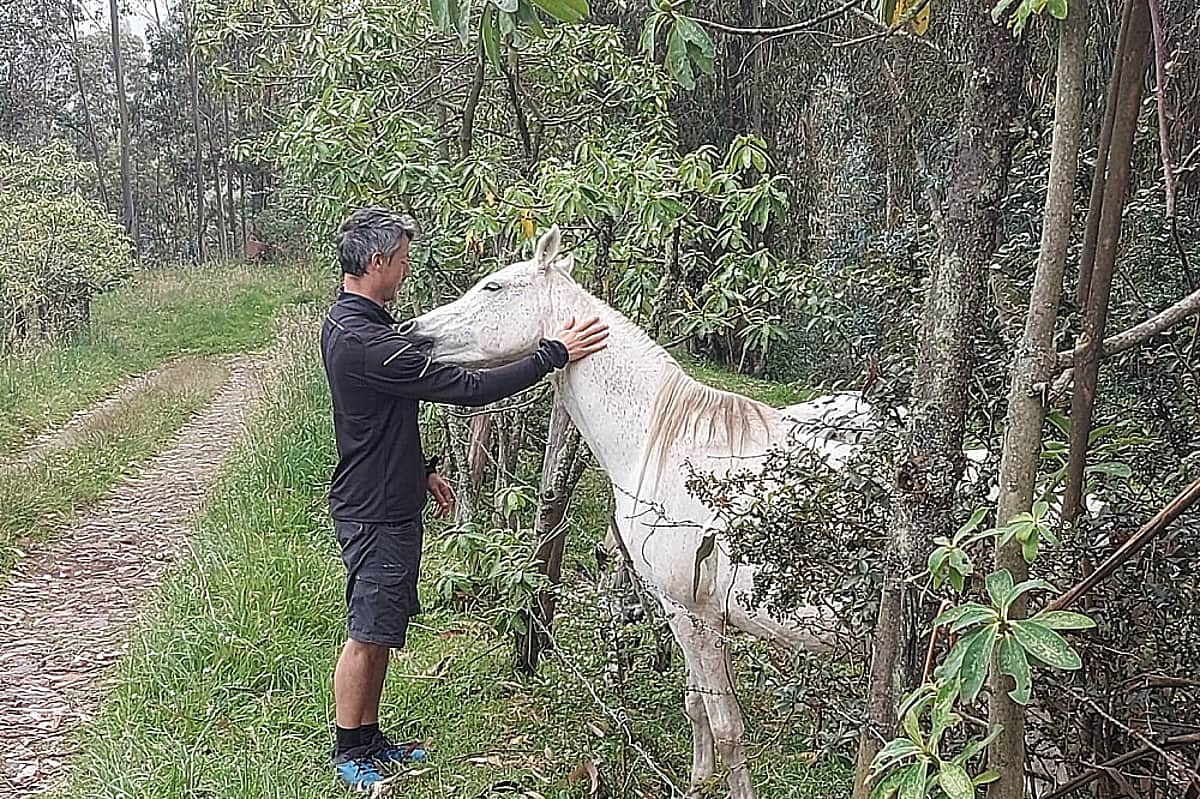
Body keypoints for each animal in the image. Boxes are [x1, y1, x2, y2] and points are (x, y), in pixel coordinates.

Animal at [410, 225, 873, 796]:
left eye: (493, 288)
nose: (413, 333)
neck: (664, 442)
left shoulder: (695, 615)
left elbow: (726, 728)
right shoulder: (680, 613)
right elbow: (696, 707)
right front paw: (697, 784)